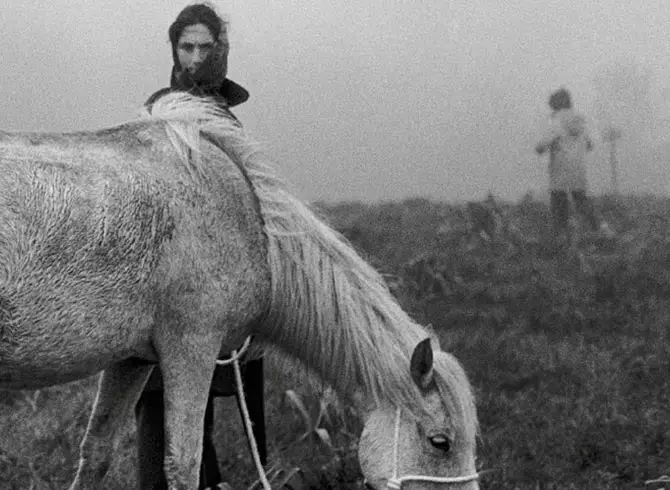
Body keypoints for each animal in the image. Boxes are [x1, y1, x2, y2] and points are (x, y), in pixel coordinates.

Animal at [0, 94, 484, 488]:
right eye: (440, 442)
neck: (249, 224)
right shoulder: (191, 347)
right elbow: (183, 465)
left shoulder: (131, 359)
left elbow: (96, 453)